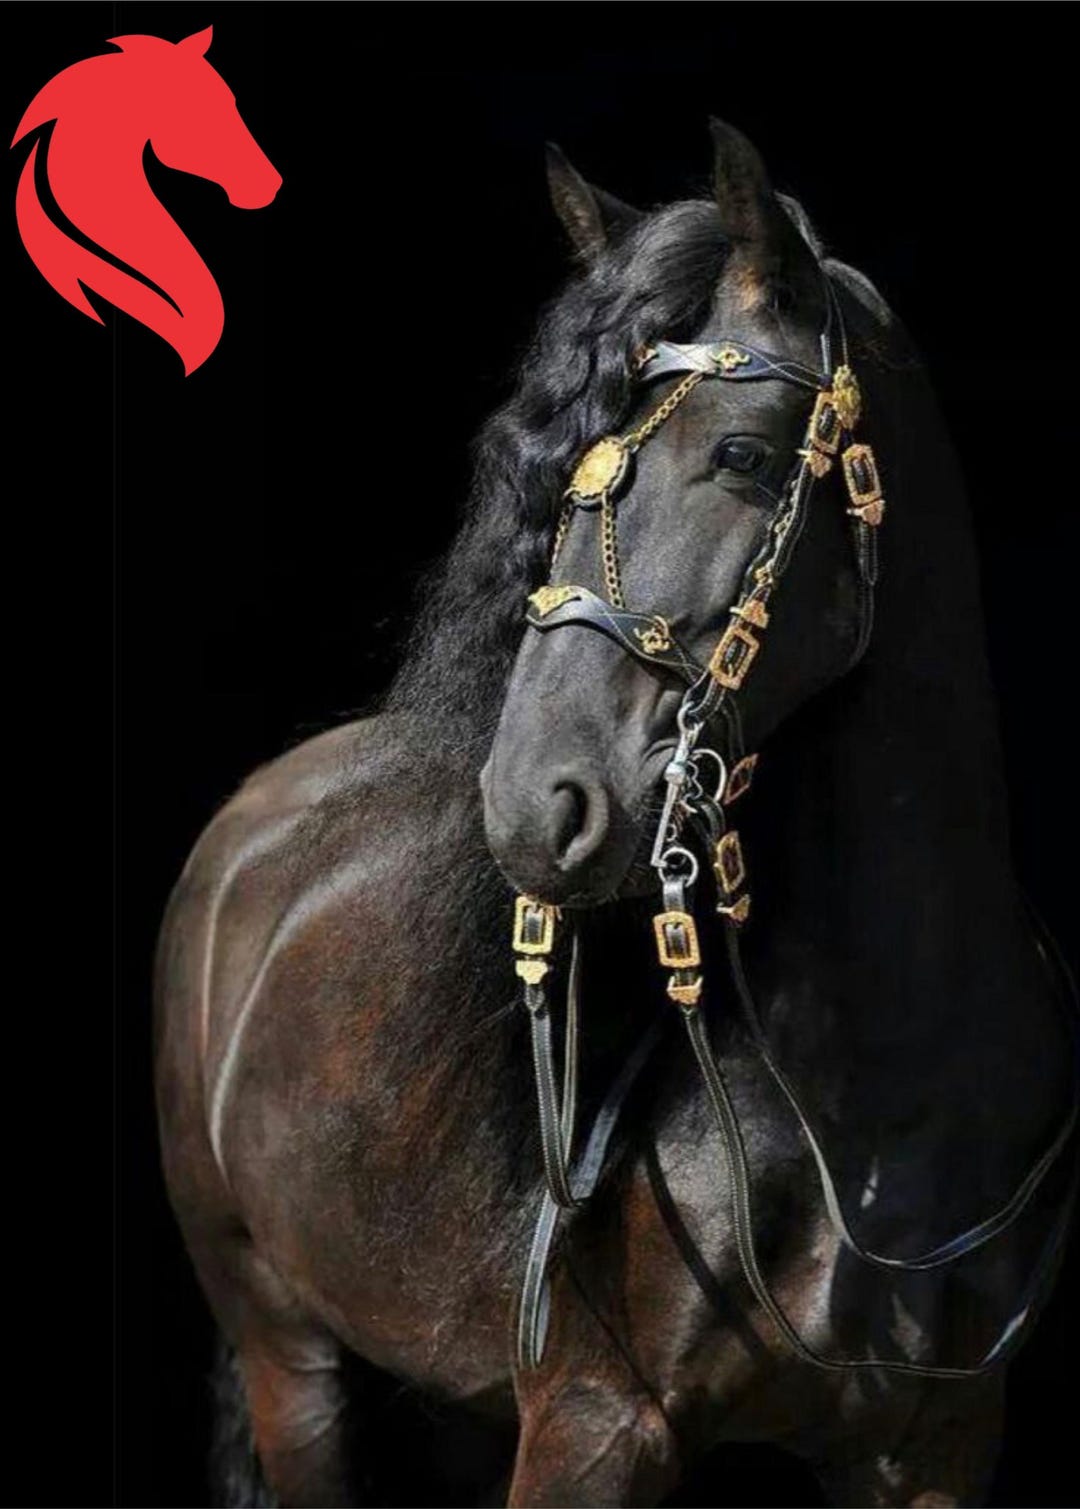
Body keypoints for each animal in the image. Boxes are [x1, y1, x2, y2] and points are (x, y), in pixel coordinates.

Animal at [154, 120, 1078, 1507]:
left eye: (743, 456)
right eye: (551, 485)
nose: (533, 806)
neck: (883, 1105)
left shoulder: (937, 1452)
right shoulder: (594, 1423)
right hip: (289, 1359)